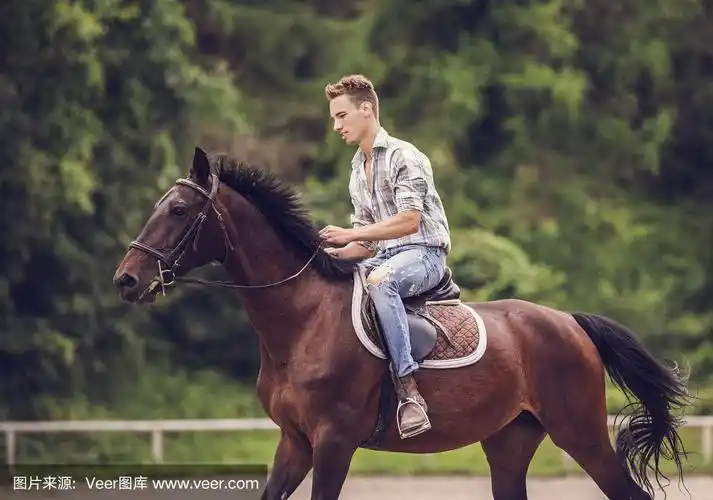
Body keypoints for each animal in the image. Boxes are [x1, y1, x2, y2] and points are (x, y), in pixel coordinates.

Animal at [113, 146, 691, 500]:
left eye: (179, 210)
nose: (126, 280)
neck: (301, 322)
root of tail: (570, 323)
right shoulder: (294, 442)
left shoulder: (333, 442)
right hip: (509, 444)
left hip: (582, 435)